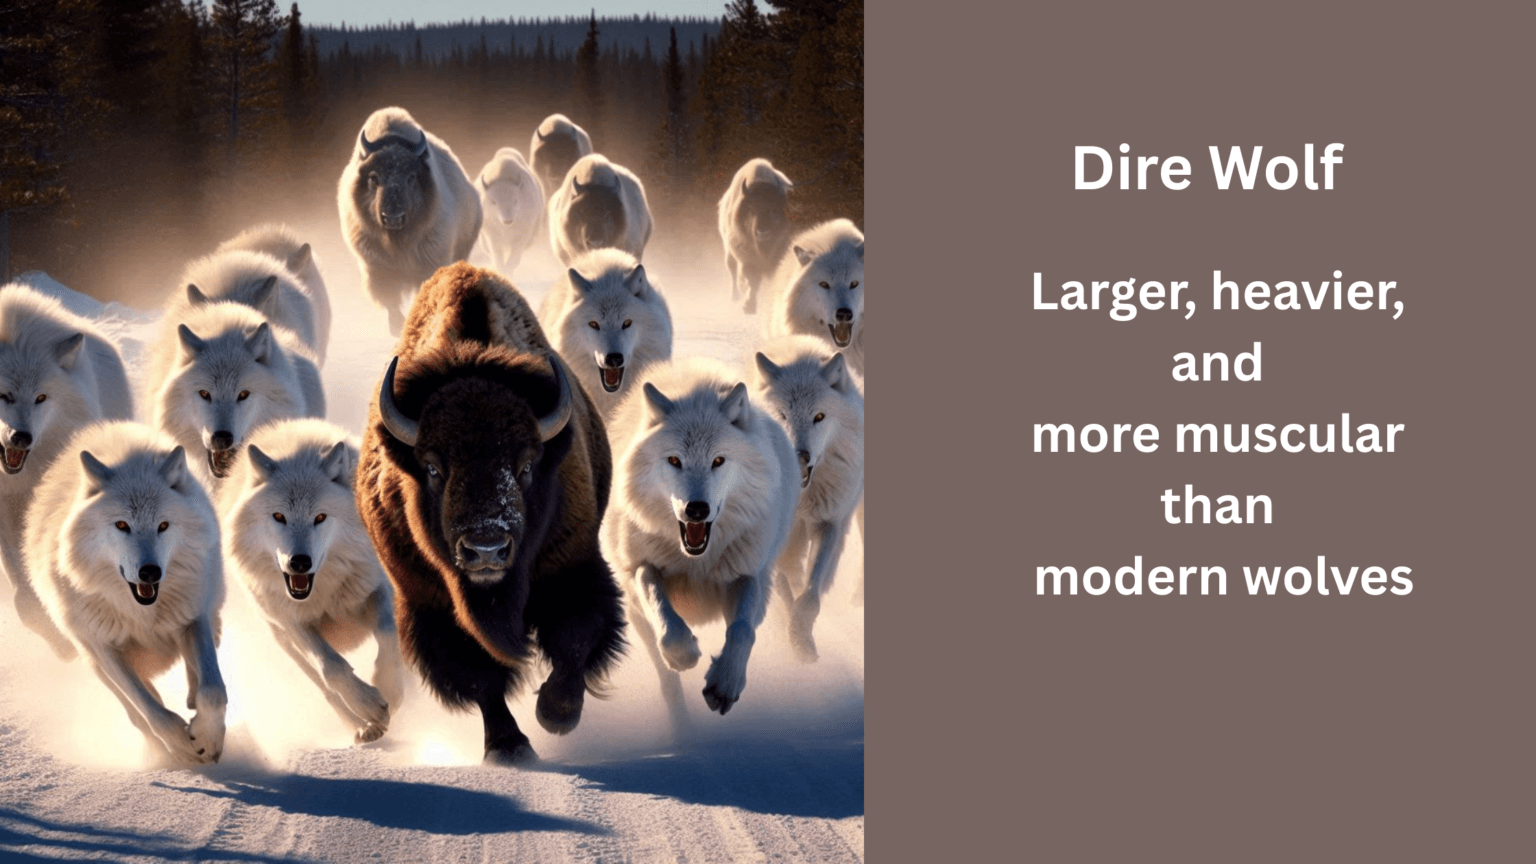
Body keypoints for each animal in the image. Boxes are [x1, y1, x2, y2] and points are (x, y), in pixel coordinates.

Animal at [21, 421, 227, 764]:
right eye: (121, 525)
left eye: (163, 525)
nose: (150, 572)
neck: (142, 613)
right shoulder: (104, 648)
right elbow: (152, 713)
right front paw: (182, 748)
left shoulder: (193, 615)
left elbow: (214, 692)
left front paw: (208, 739)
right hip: (92, 659)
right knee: (137, 713)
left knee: (195, 675)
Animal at [223, 418, 405, 743]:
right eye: (279, 516)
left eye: (320, 517)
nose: (299, 562)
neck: (323, 592)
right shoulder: (293, 623)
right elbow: (332, 668)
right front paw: (370, 706)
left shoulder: (377, 588)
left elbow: (388, 637)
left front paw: (390, 691)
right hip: (284, 642)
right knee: (326, 690)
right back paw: (363, 727)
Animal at [602, 358, 799, 722]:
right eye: (674, 460)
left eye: (718, 460)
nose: (696, 509)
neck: (696, 560)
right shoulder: (639, 567)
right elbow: (664, 617)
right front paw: (686, 654)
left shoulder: (749, 574)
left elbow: (742, 630)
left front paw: (724, 684)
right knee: (666, 677)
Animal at [752, 337, 865, 661]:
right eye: (781, 415)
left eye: (819, 416)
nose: (799, 457)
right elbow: (784, 592)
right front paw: (796, 641)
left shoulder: (829, 526)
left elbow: (810, 596)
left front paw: (802, 639)